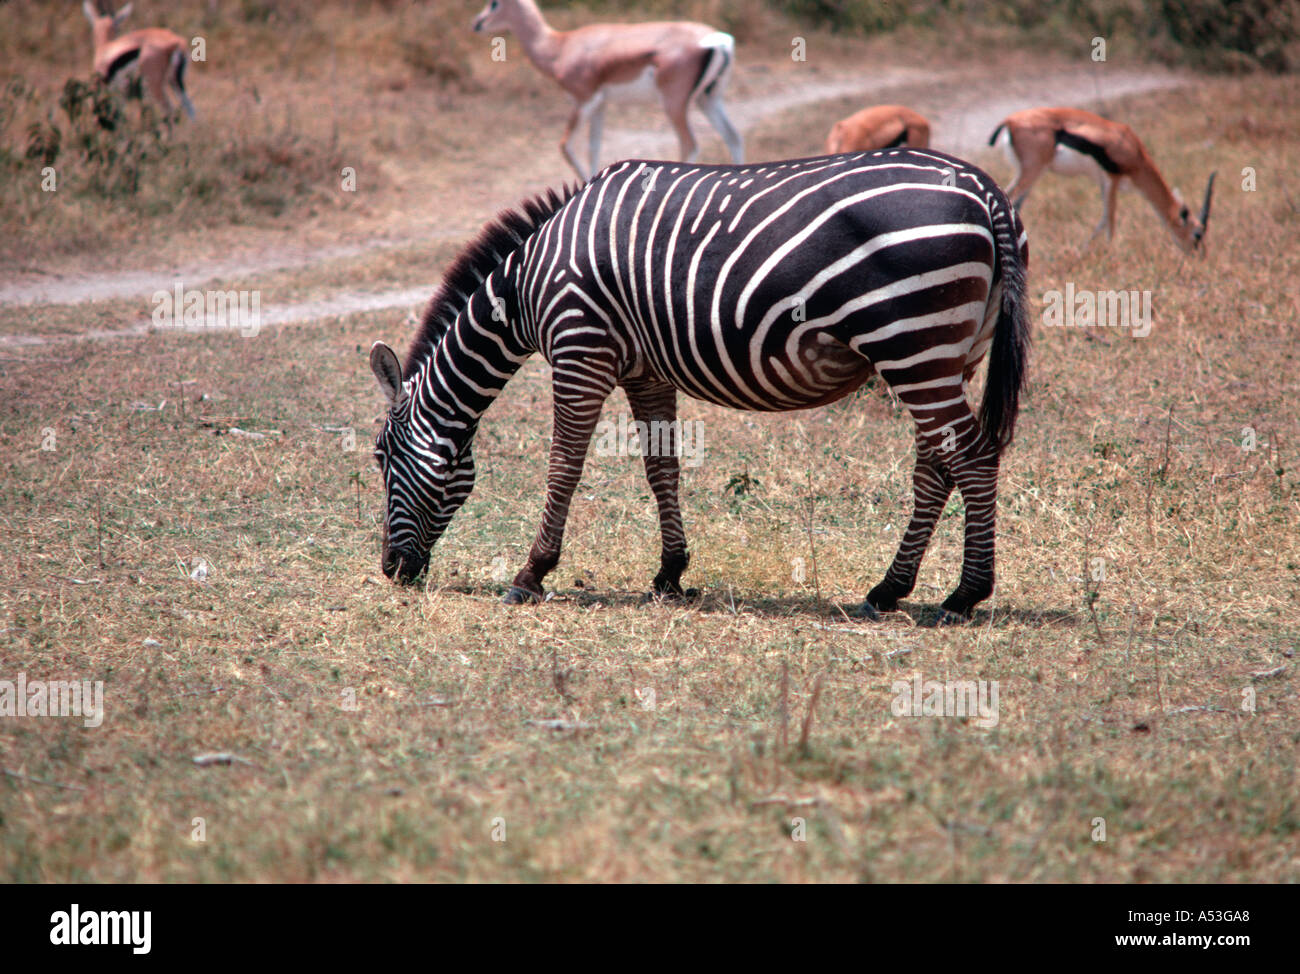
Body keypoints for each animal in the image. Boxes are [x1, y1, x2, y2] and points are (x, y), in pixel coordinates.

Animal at [369, 148, 1030, 621]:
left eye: (380, 457)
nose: (392, 572)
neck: (529, 286)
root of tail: (983, 188)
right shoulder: (644, 370)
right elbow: (661, 467)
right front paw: (670, 573)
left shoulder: (580, 349)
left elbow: (563, 467)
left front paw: (531, 574)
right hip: (950, 352)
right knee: (936, 465)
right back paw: (889, 590)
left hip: (912, 341)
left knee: (971, 457)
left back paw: (964, 596)